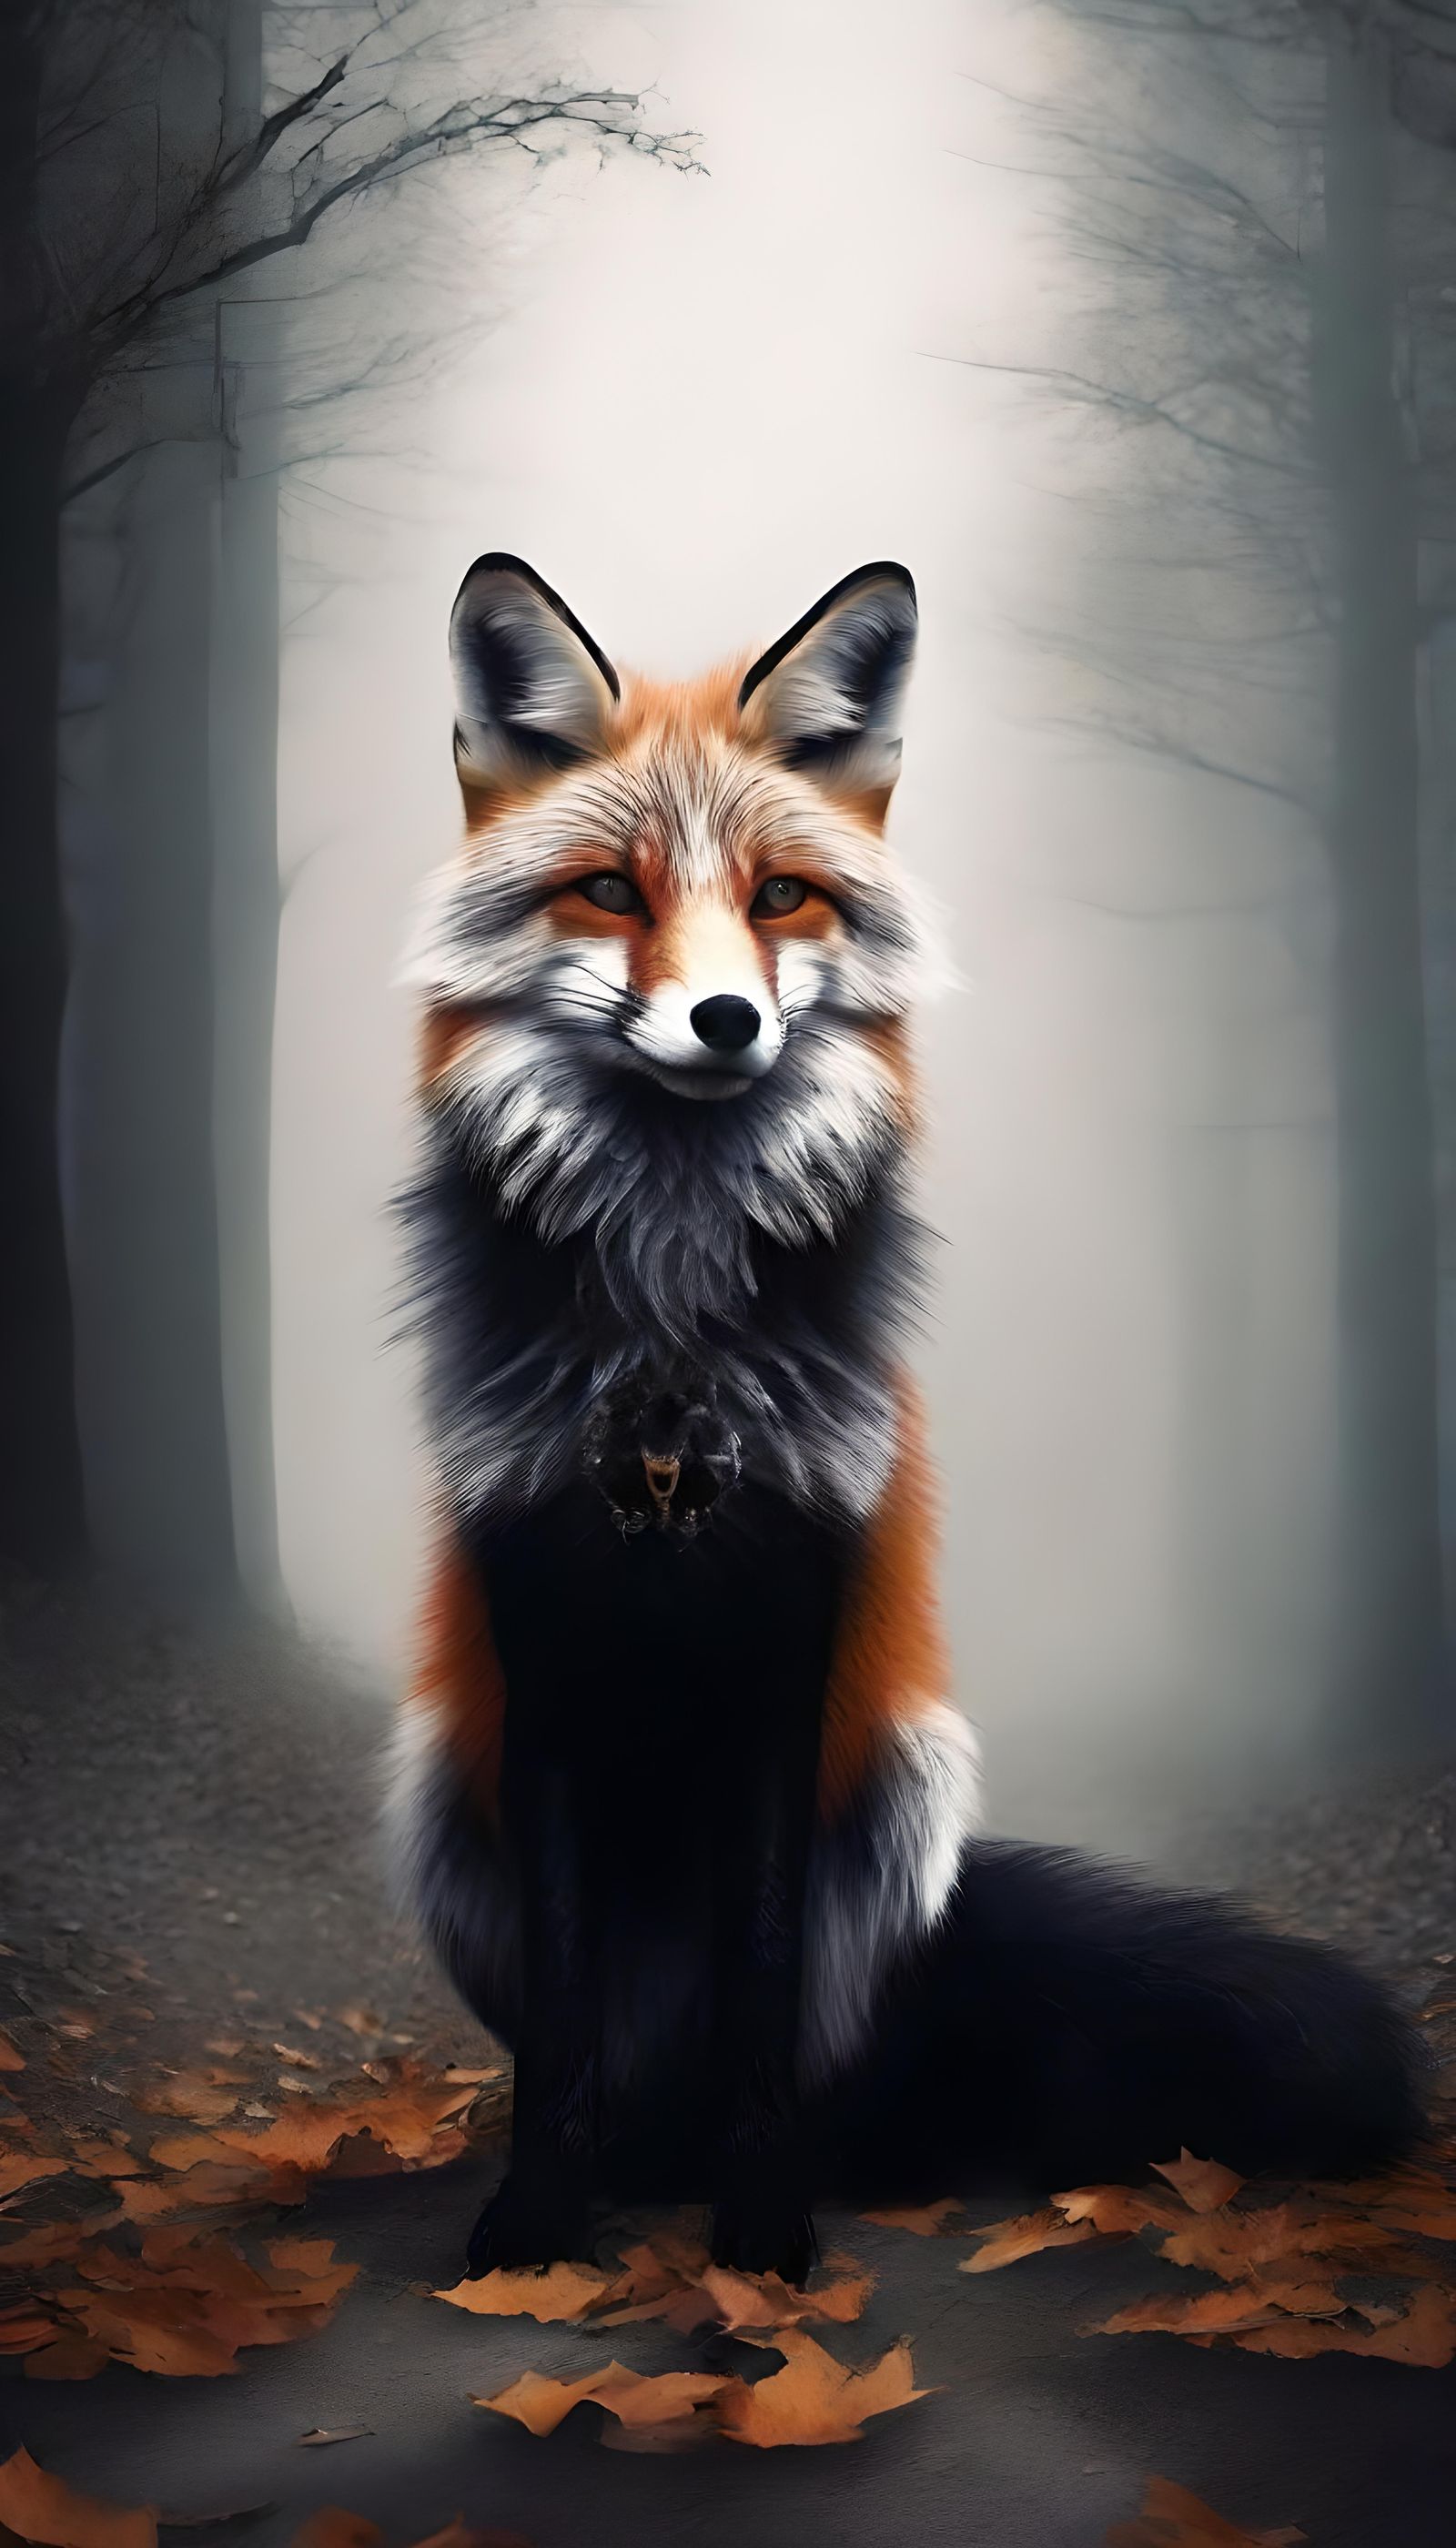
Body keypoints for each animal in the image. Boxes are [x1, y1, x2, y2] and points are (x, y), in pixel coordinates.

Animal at [393, 553, 1421, 2284]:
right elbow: (561, 2018)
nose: (725, 1023)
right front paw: (539, 2218)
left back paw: (852, 2155)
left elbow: (762, 1986)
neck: (671, 1342)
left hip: (902, 1792)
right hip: (437, 1807)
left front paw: (761, 2227)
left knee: (840, 2048)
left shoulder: (789, 1639)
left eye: (780, 899)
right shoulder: (539, 1630)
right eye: (610, 893)